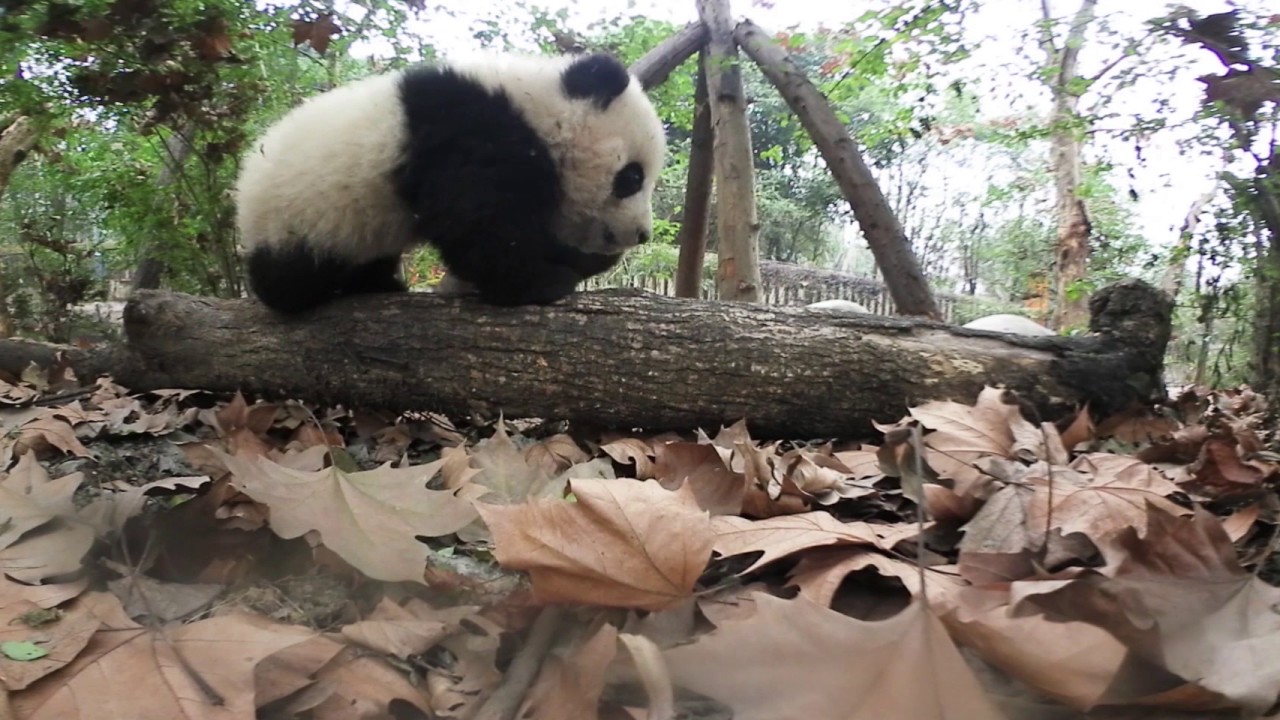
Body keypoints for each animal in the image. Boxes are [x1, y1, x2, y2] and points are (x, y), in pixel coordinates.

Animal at [233, 51, 667, 314]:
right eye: (632, 177)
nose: (641, 234)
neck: (538, 111)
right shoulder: (467, 136)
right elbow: (479, 229)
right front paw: (547, 280)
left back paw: (378, 284)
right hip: (299, 217)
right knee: (289, 280)